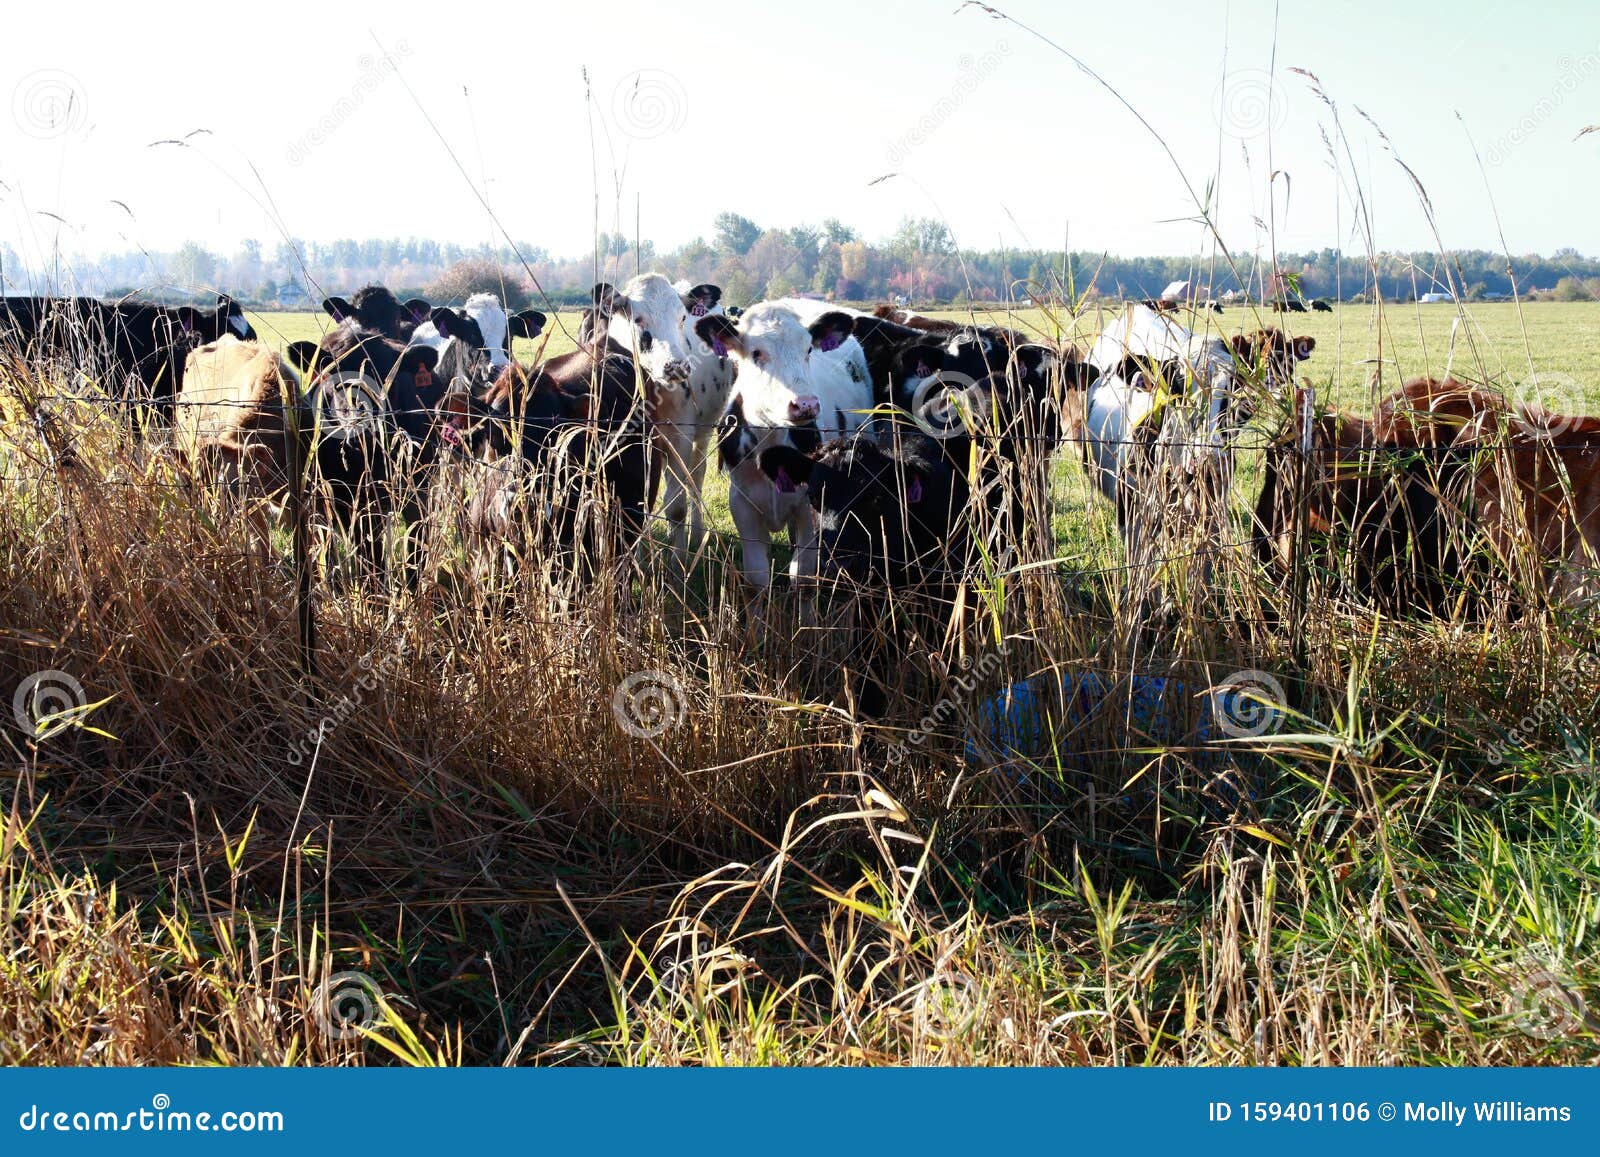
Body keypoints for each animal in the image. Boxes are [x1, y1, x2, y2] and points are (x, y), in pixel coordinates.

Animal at [695, 302, 875, 586]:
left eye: (808, 349)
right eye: (756, 352)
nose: (805, 404)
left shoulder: (810, 506)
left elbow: (802, 573)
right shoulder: (742, 503)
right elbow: (757, 574)